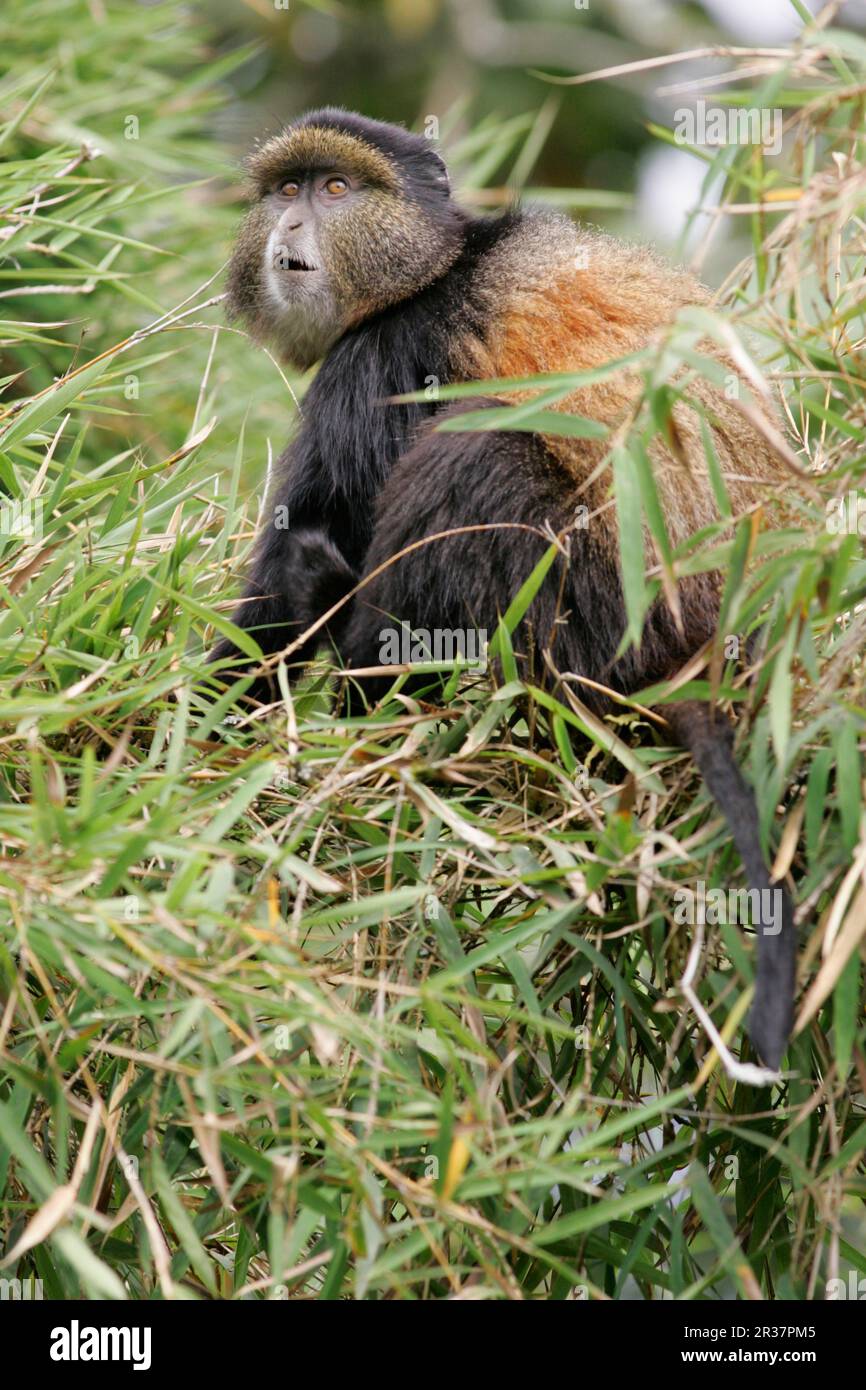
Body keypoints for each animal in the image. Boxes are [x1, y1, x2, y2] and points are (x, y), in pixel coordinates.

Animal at [208, 108, 798, 1071]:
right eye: (285, 189)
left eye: (336, 189)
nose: (290, 225)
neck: (431, 267)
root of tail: (702, 650)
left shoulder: (382, 358)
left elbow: (283, 584)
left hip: (584, 611)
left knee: (472, 453)